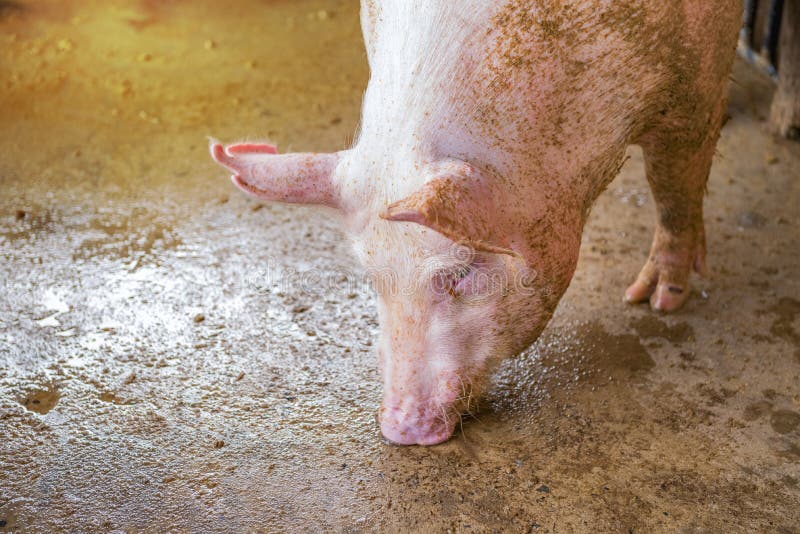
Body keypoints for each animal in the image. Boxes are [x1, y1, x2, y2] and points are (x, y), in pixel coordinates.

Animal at [210, 0, 742, 445]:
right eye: (373, 280)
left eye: (461, 273)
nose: (400, 430)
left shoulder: (697, 84)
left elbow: (673, 189)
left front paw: (656, 301)